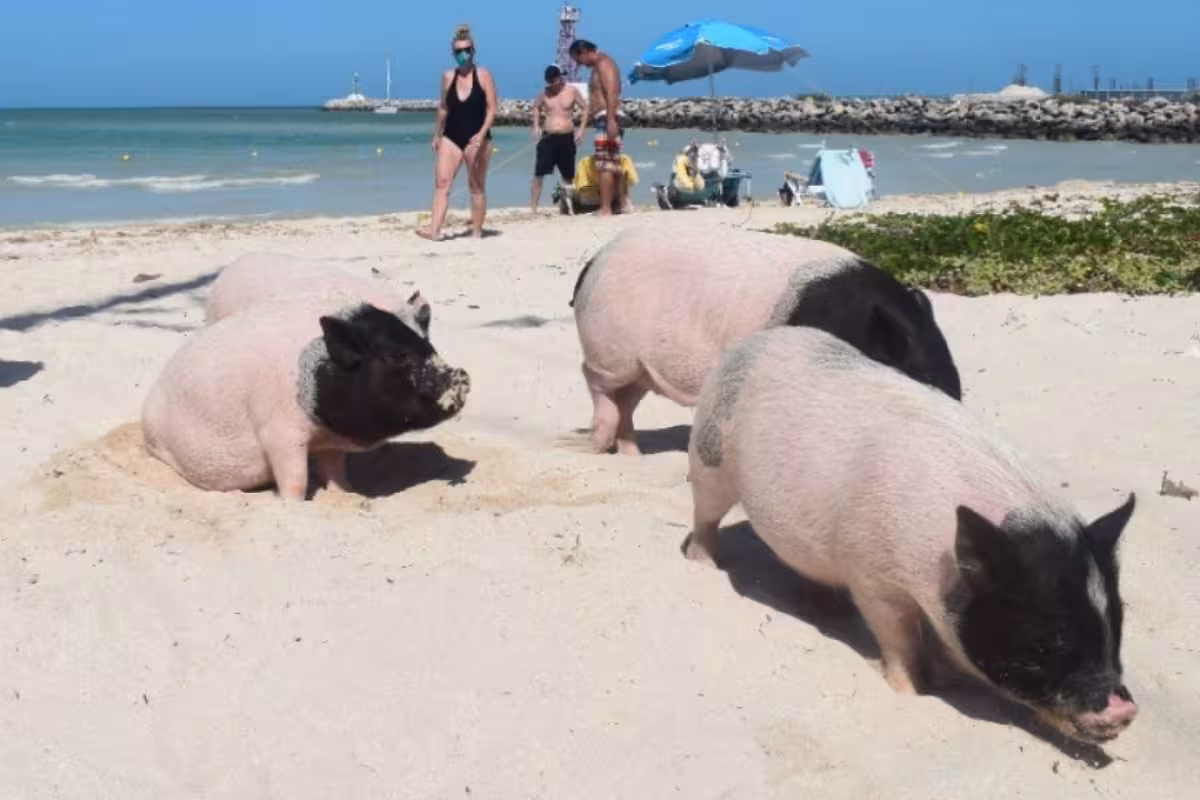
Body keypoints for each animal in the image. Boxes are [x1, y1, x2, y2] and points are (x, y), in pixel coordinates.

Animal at [142, 292, 470, 500]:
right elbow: (296, 480)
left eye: (428, 344)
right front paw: (293, 505)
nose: (463, 376)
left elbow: (336, 472)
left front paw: (350, 496)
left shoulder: (330, 443)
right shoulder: (279, 433)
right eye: (396, 357)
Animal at [570, 224, 961, 456]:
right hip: (610, 351)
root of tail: (593, 263)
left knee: (627, 400)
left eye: (953, 384)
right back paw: (599, 443)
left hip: (641, 367)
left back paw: (631, 454)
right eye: (918, 377)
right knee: (594, 380)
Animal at [683, 325, 1138, 745]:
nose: (1125, 709)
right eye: (1052, 637)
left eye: (1117, 620)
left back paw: (829, 610)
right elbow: (900, 640)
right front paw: (914, 692)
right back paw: (704, 565)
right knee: (704, 518)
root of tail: (756, 340)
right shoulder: (874, 580)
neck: (939, 568)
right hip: (709, 458)